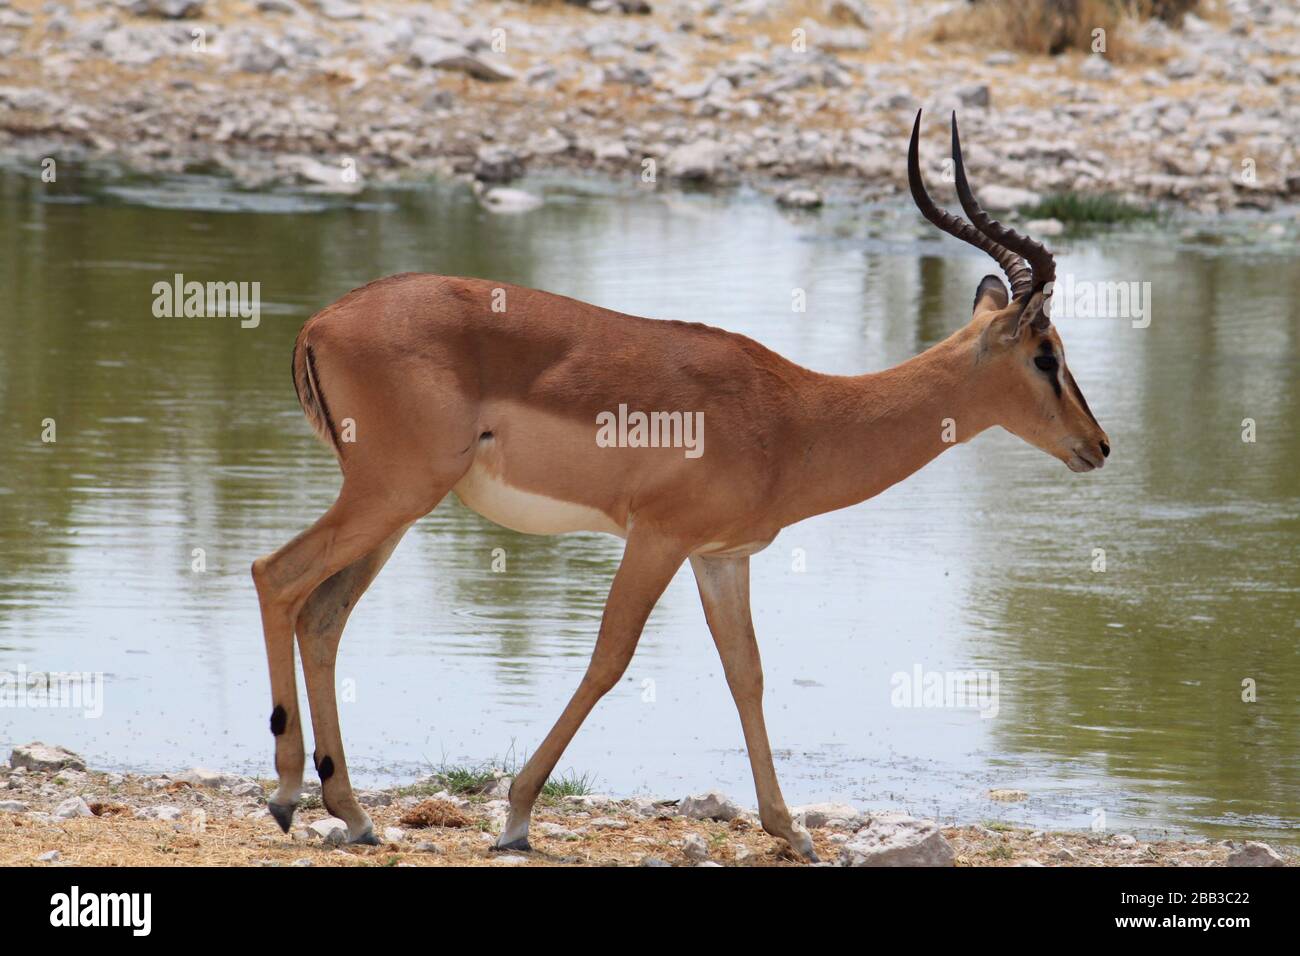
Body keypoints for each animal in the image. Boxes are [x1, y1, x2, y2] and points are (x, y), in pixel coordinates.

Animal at [252, 111, 1110, 861]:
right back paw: (290, 796)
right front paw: (517, 818)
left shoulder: (720, 556)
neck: (795, 414)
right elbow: (609, 660)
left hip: (398, 510)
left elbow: (747, 674)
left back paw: (352, 812)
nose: (1098, 446)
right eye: (1047, 354)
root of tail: (321, 323)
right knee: (276, 574)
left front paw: (792, 832)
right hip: (391, 495)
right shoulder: (657, 537)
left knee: (323, 613)